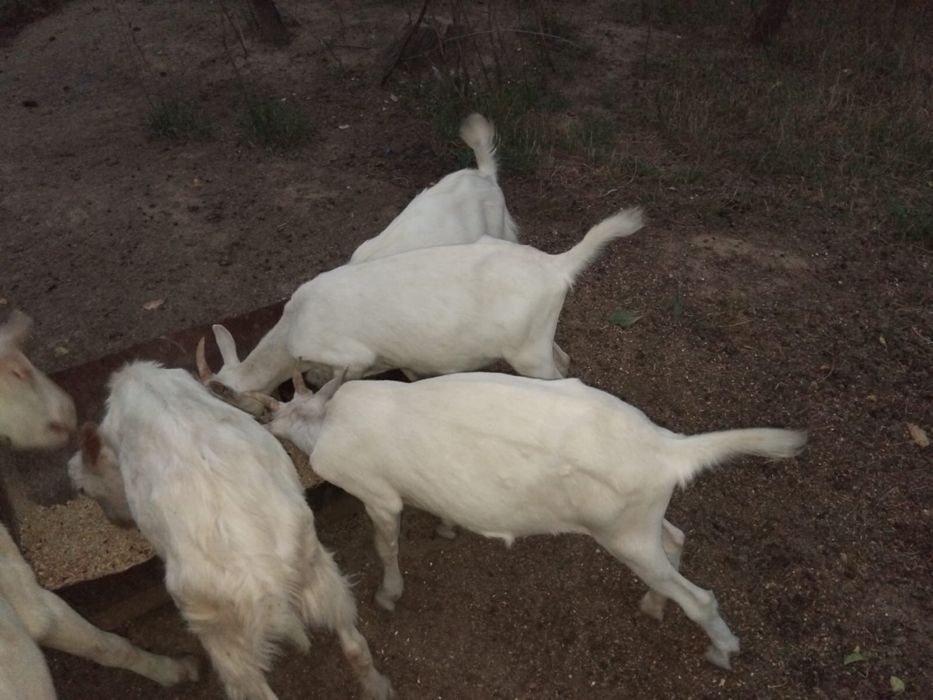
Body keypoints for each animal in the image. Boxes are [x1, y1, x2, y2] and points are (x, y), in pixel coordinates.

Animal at [68, 361, 392, 700]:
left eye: (84, 489)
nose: (118, 520)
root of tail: (262, 585)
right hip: (322, 576)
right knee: (355, 646)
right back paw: (380, 688)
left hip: (221, 637)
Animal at [197, 207, 645, 397]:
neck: (292, 329)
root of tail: (557, 266)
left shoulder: (351, 356)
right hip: (536, 340)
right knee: (565, 360)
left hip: (528, 354)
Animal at [254, 369, 806, 671]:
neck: (327, 421)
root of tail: (668, 449)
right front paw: (446, 526)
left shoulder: (377, 493)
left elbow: (385, 542)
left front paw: (389, 594)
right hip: (640, 526)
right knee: (675, 541)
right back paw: (653, 604)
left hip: (622, 534)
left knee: (699, 596)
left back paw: (723, 649)